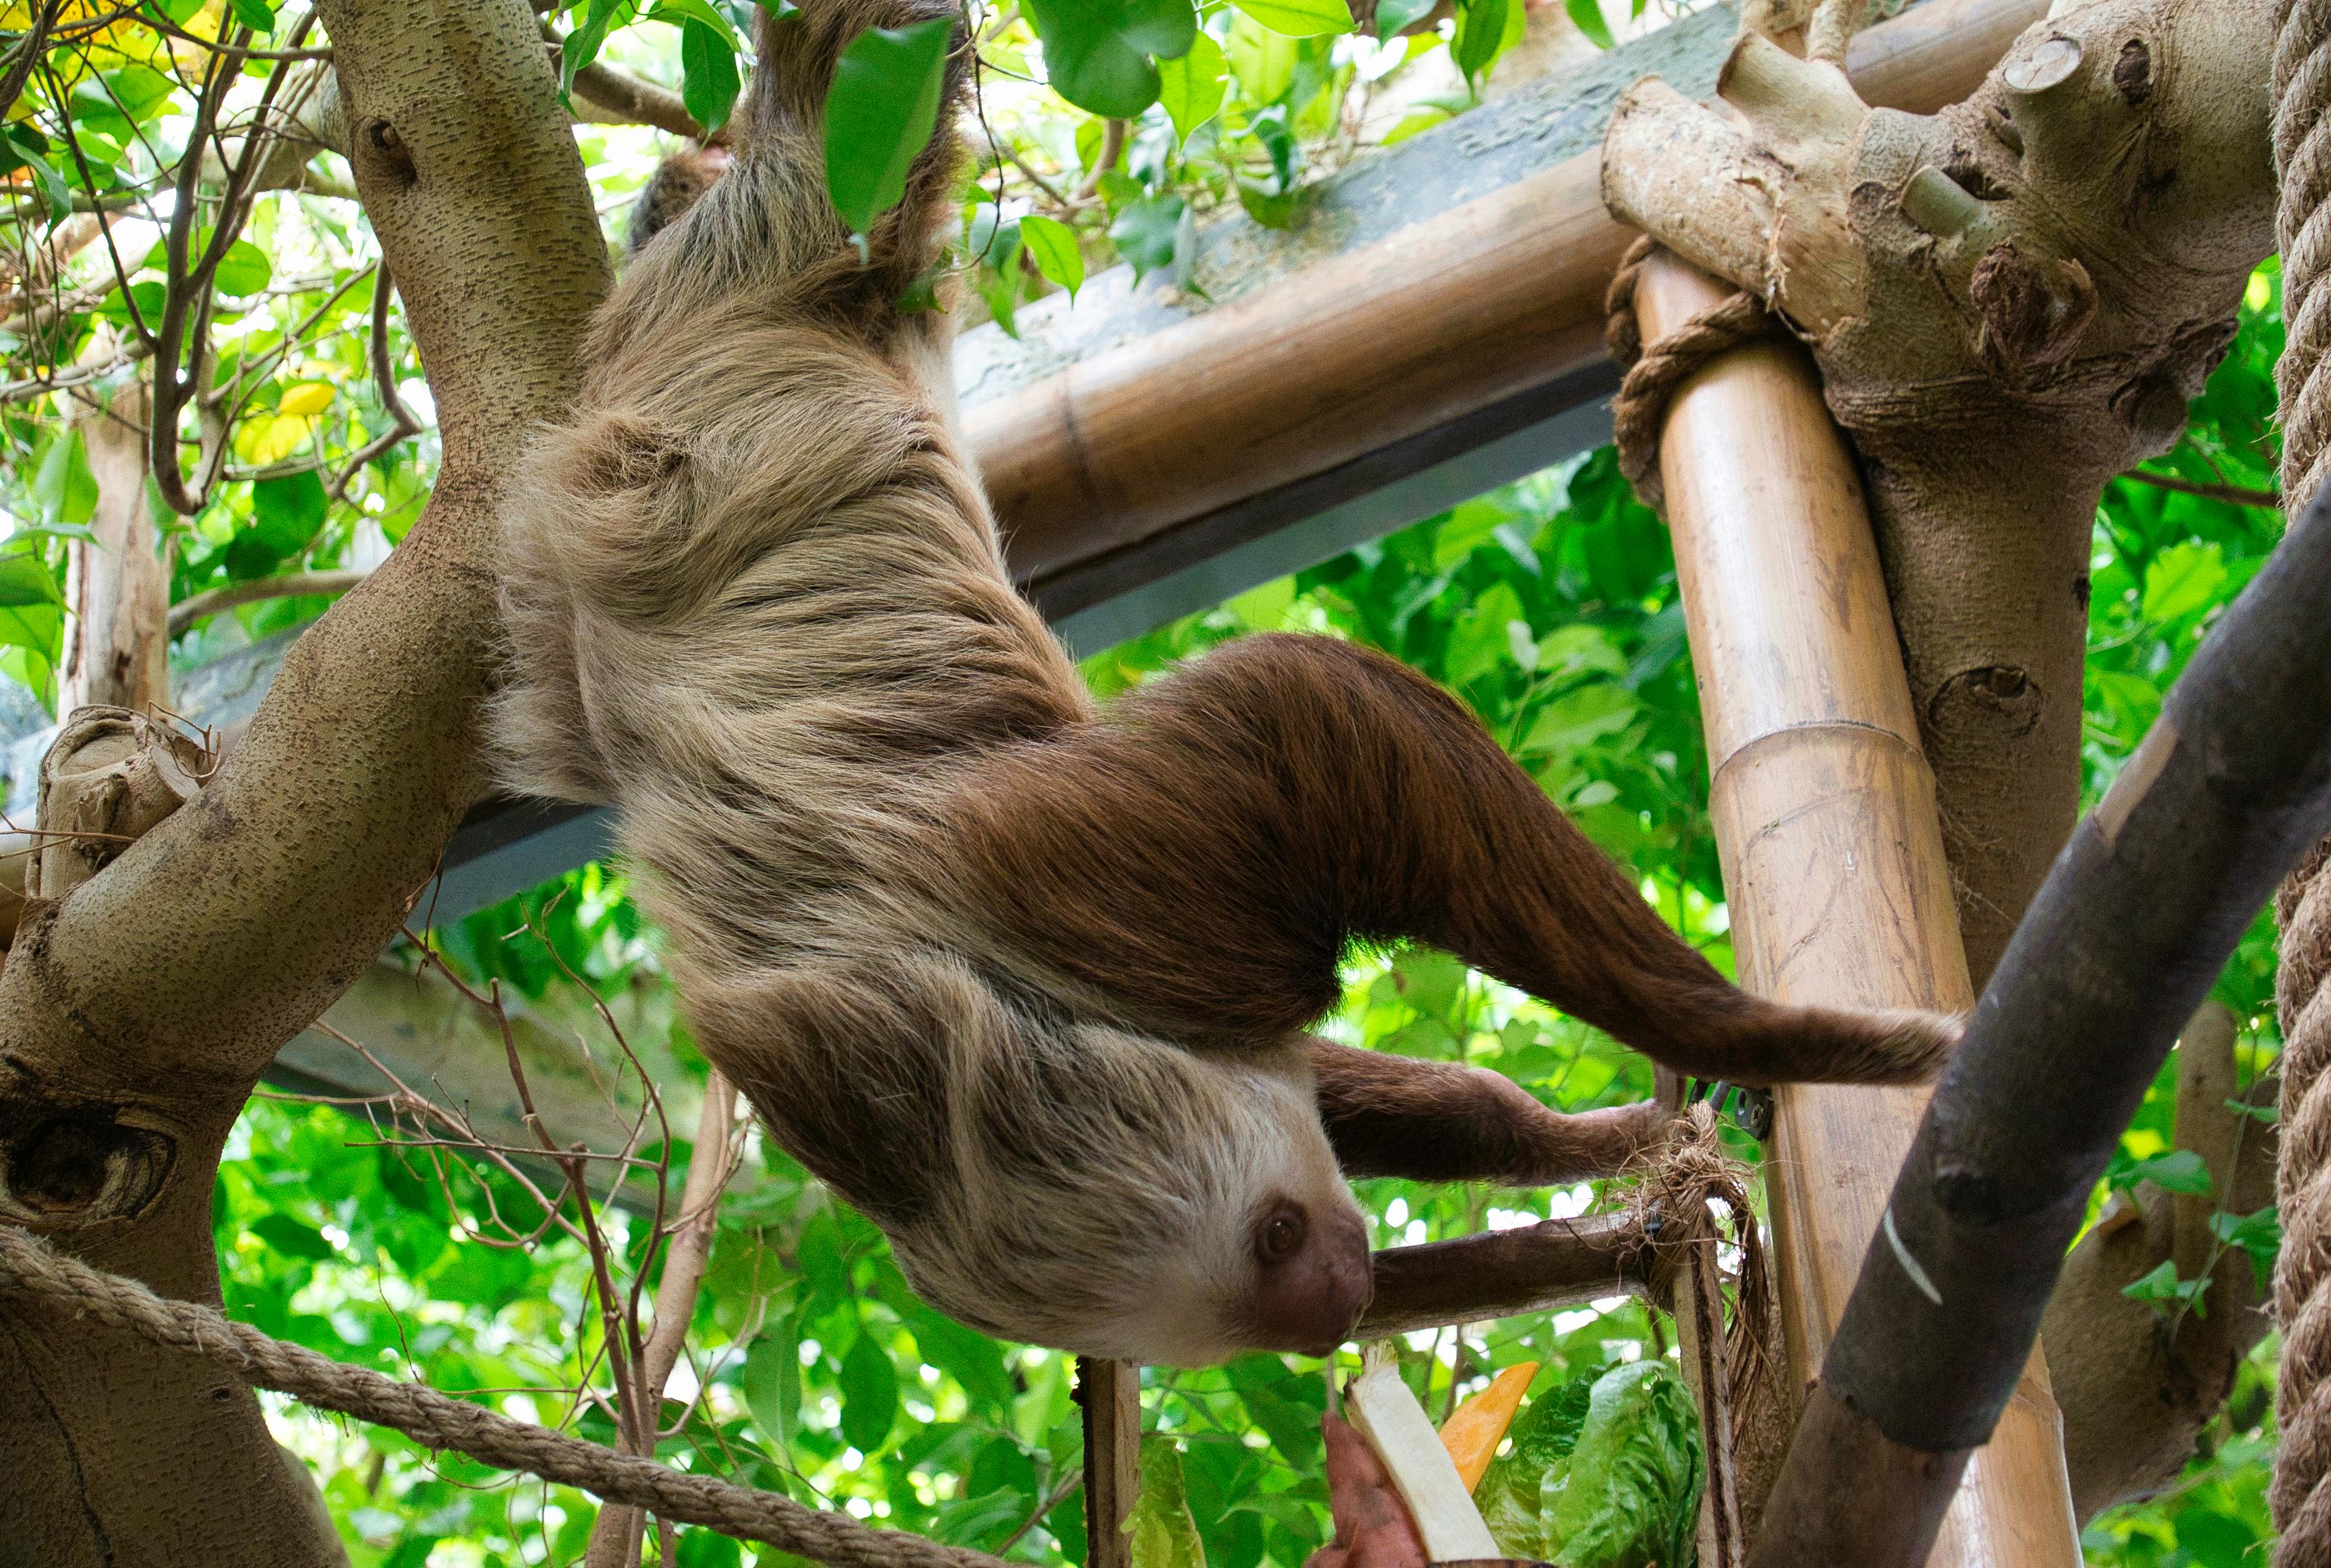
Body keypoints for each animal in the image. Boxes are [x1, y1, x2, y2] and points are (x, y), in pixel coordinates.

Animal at [491, 0, 1958, 1368]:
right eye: (1247, 1313)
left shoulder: (1097, 874)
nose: (1332, 1306)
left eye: (1271, 1235)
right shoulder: (1181, 979)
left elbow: (1309, 712)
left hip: (753, 283)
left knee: (835, 148)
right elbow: (1377, 1084)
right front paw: (1616, 1160)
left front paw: (1791, 1040)